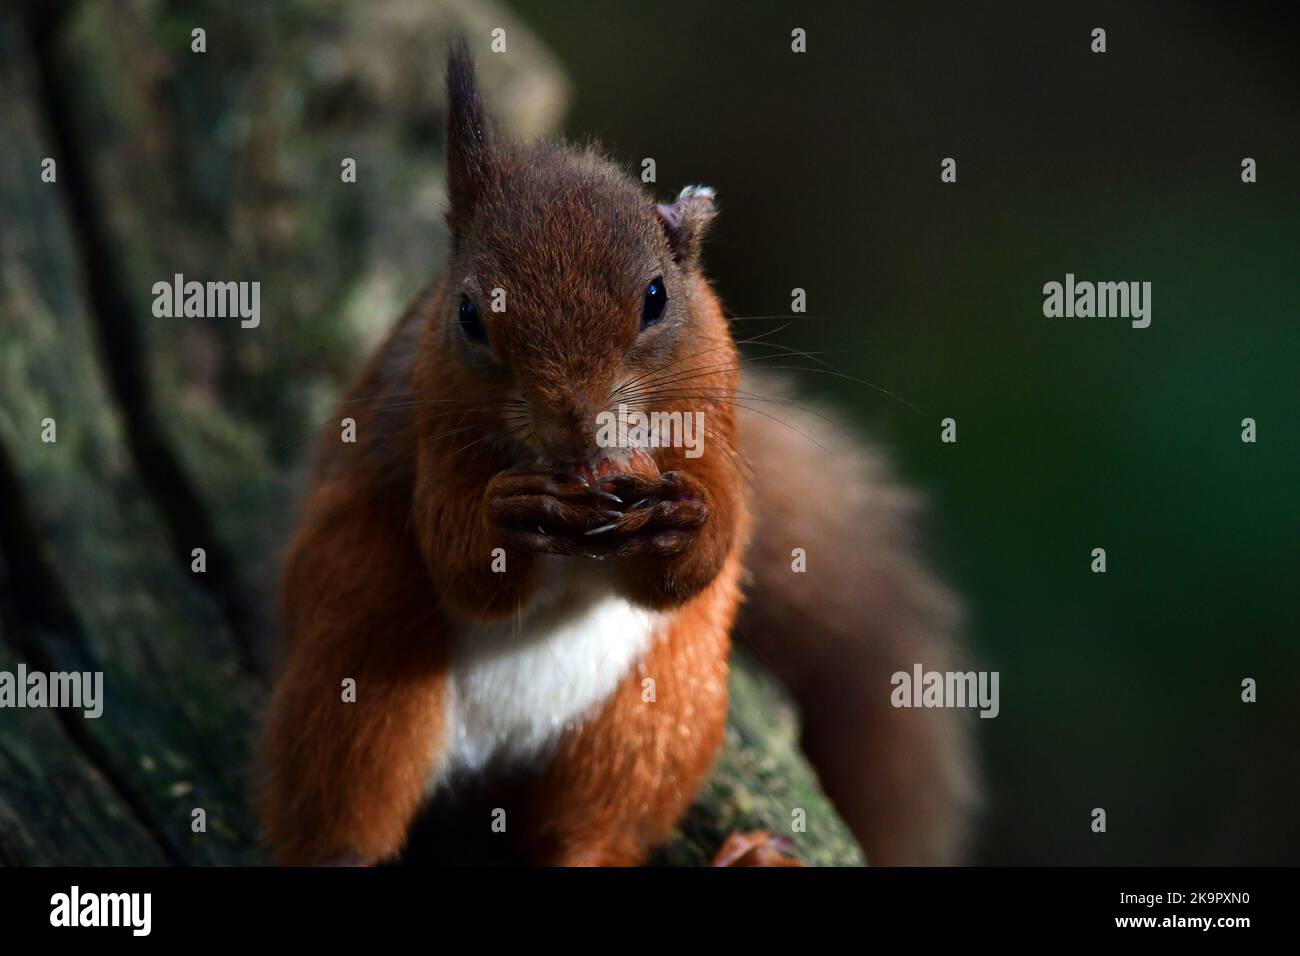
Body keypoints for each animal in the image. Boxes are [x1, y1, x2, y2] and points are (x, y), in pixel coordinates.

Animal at [260, 41, 978, 867]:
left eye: (657, 298)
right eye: (469, 313)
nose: (577, 424)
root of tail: (492, 763)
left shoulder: (714, 415)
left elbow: (705, 555)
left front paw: (687, 518)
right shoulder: (425, 418)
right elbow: (460, 563)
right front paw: (509, 513)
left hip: (656, 711)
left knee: (597, 828)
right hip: (362, 653)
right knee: (347, 797)